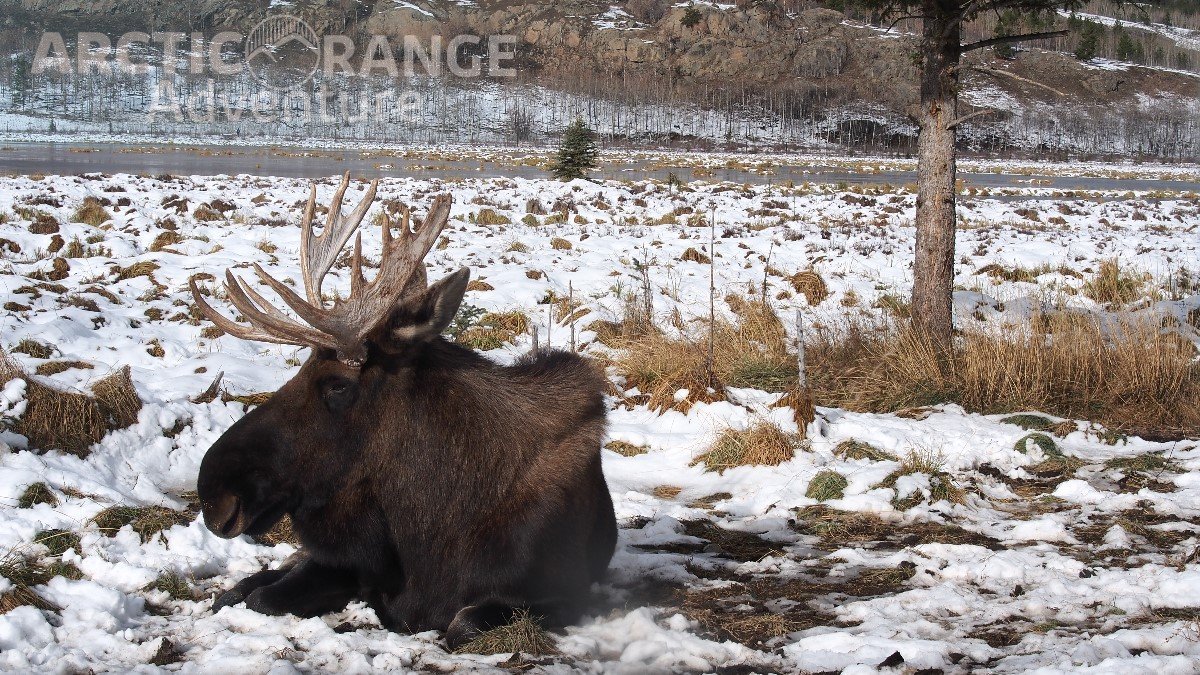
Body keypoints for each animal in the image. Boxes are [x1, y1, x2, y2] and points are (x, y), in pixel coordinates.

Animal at [190, 174, 617, 649]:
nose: (215, 493)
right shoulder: (344, 562)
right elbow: (259, 595)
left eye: (337, 383)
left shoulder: (562, 595)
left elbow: (462, 623)